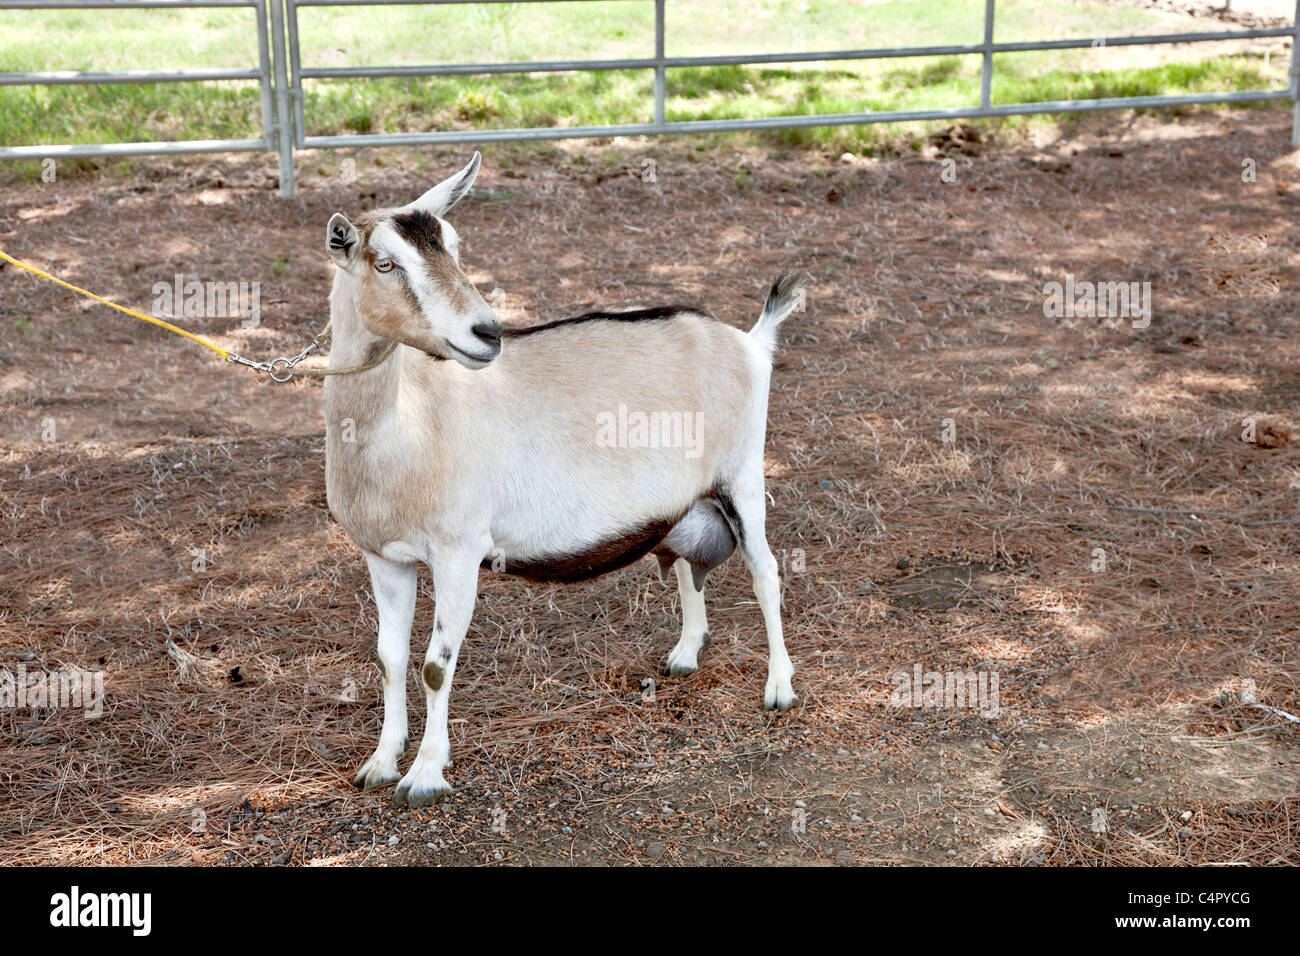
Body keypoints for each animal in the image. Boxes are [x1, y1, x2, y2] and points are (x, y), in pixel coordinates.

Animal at [324, 153, 800, 806]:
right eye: (384, 262)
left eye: (455, 244)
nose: (487, 333)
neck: (407, 423)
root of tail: (749, 342)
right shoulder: (384, 556)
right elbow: (390, 658)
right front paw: (380, 763)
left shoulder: (458, 551)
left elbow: (435, 665)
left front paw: (425, 774)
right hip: (688, 499)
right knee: (686, 564)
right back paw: (684, 654)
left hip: (742, 476)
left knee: (765, 571)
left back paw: (779, 687)